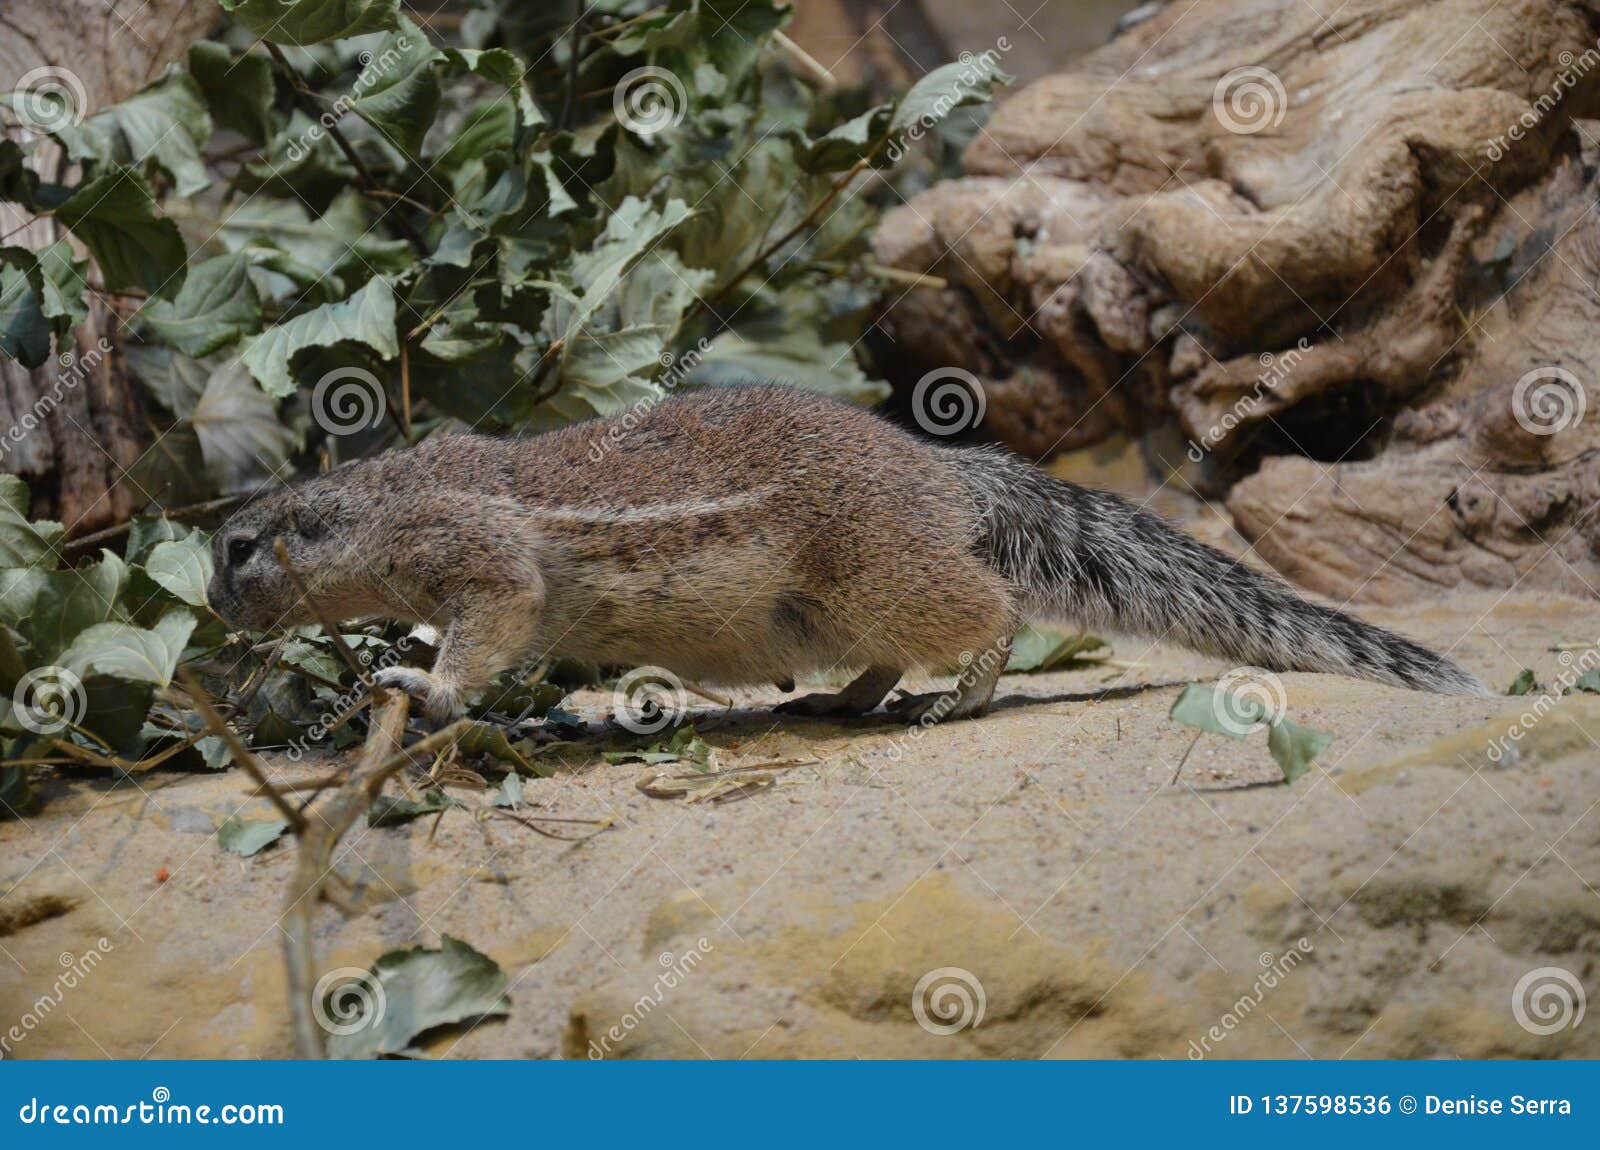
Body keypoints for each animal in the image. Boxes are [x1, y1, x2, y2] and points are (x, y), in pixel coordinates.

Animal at [206, 385, 1491, 723]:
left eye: (236, 548)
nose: (213, 612)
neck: (381, 502)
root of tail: (943, 473)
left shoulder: (478, 555)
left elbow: (492, 623)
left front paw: (416, 682)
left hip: (882, 573)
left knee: (988, 613)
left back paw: (953, 696)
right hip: (828, 609)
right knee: (889, 651)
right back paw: (845, 700)